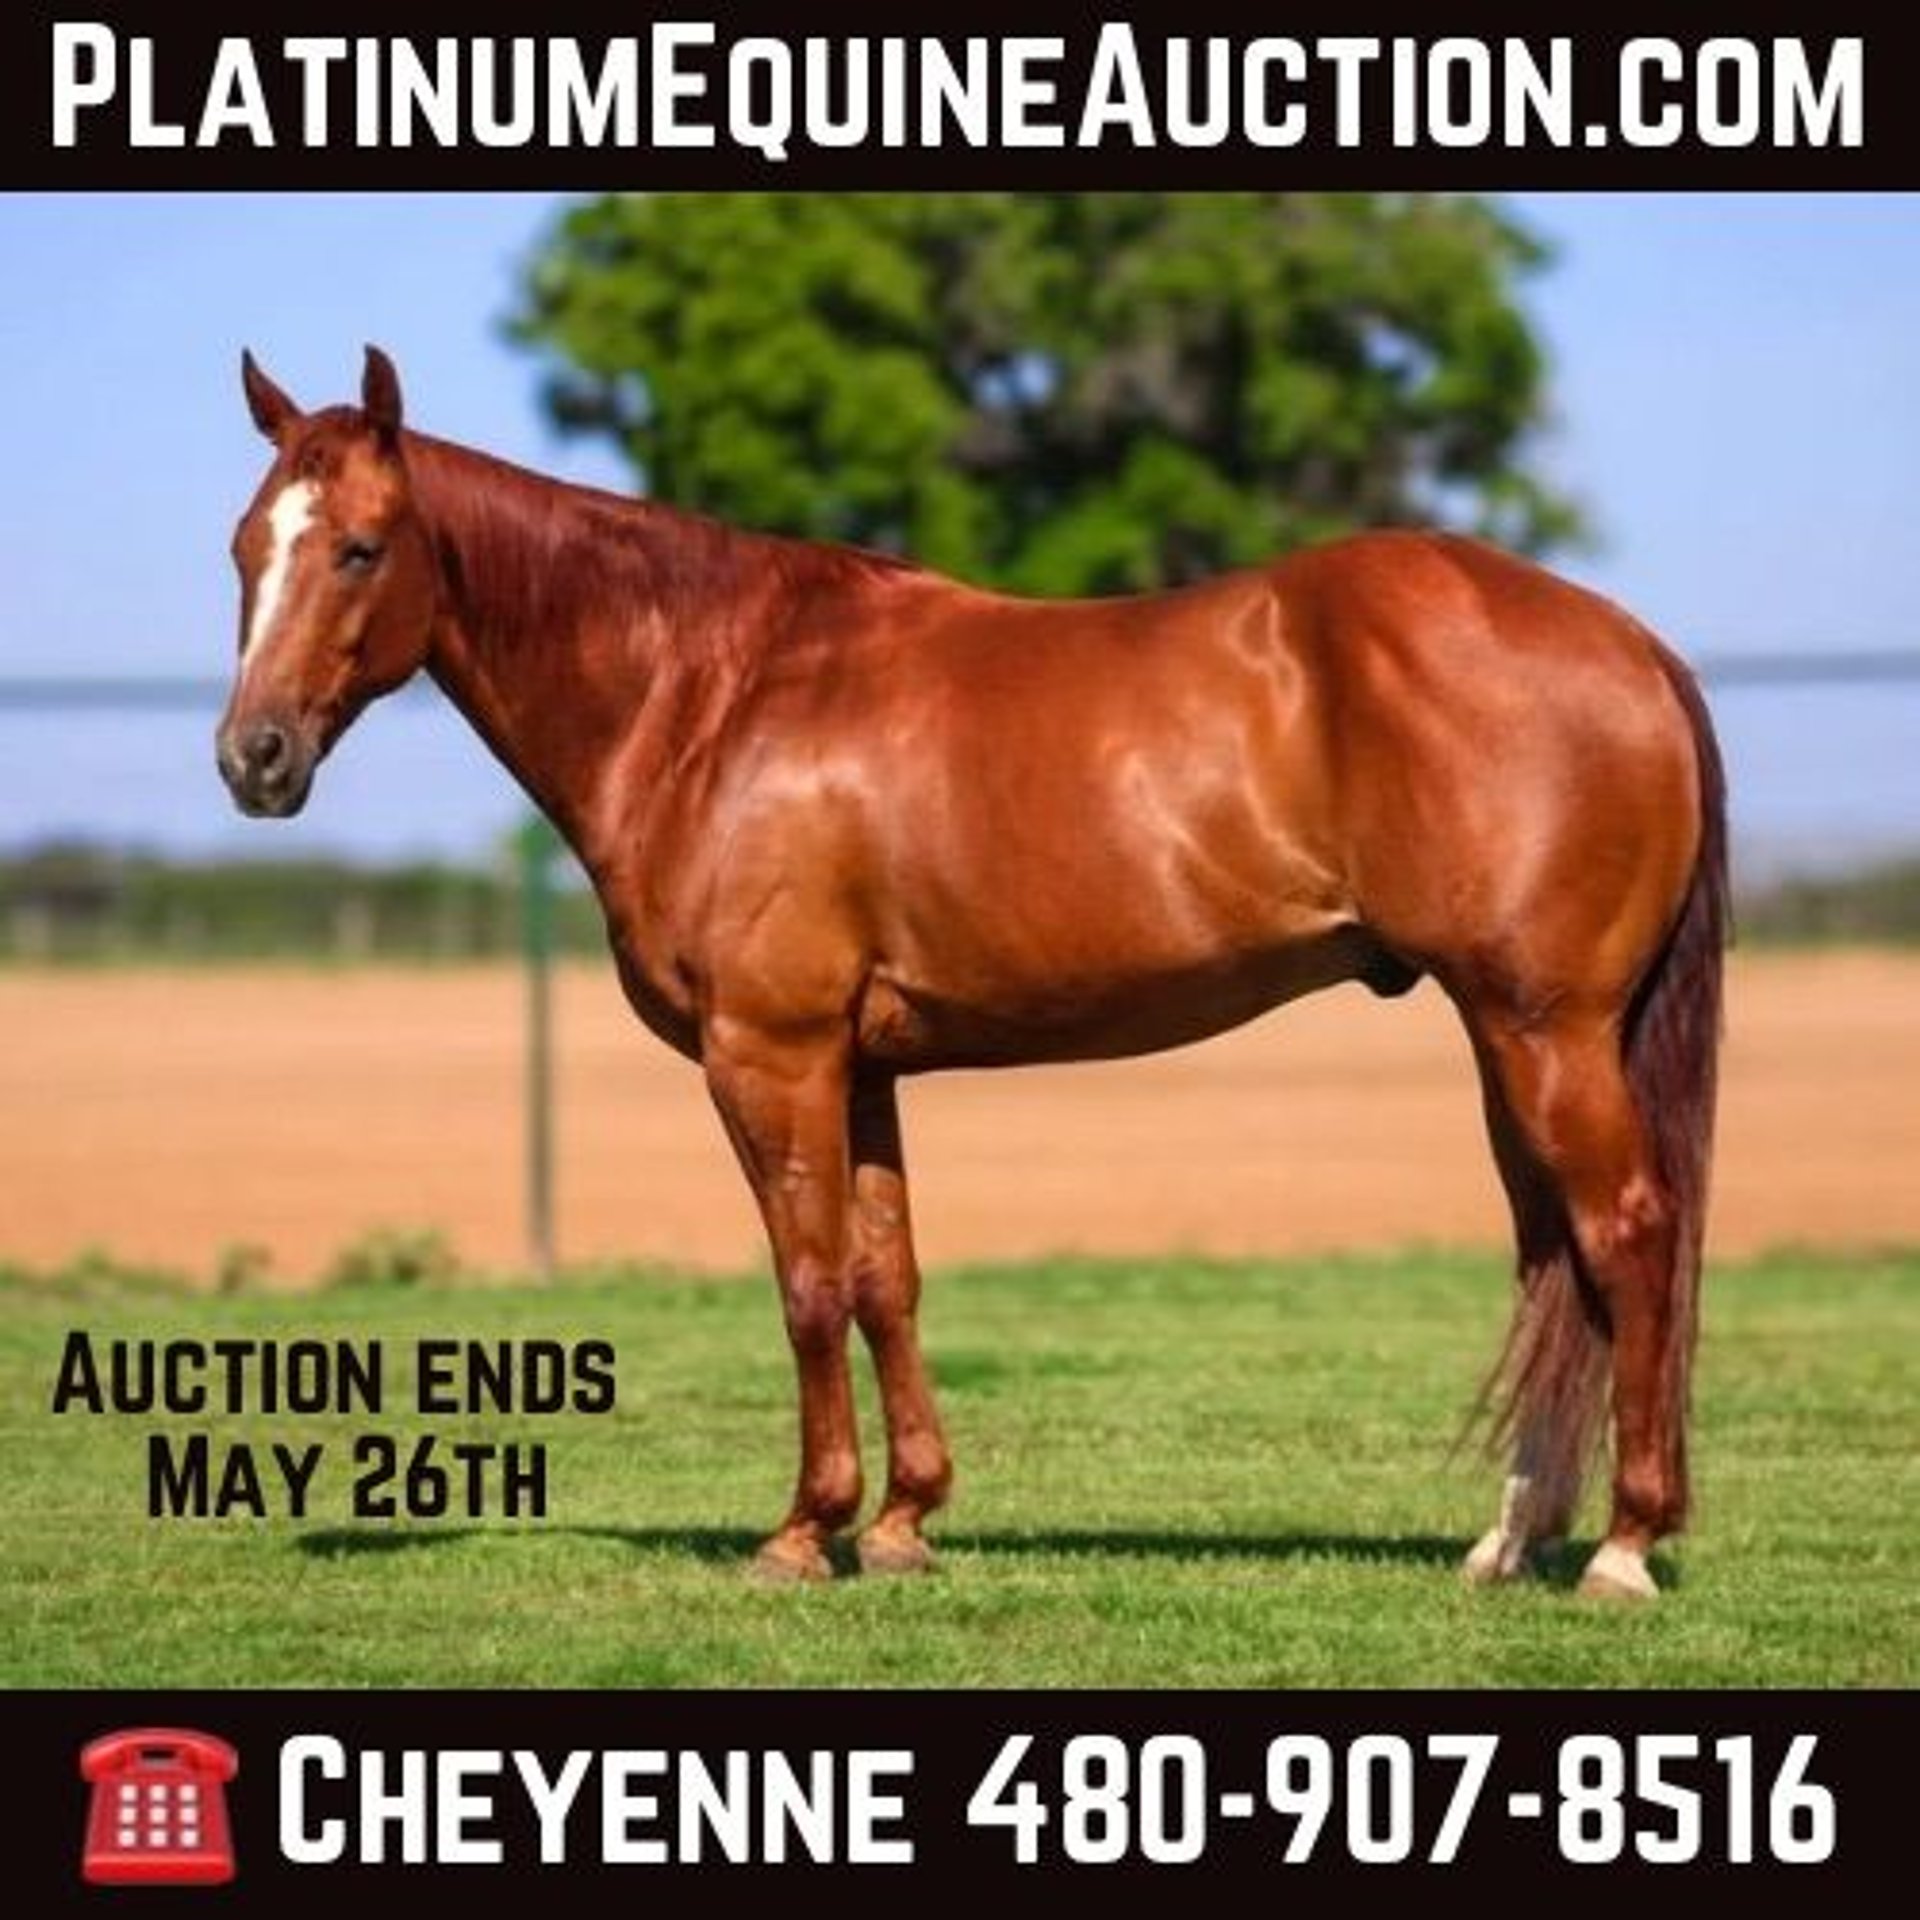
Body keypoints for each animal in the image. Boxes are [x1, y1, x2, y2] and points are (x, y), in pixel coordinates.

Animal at [217, 347, 1726, 1600]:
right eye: (244, 549)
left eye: (359, 549)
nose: (254, 758)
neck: (713, 694)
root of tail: (1633, 643)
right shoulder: (862, 1067)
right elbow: (887, 1277)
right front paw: (902, 1522)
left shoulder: (771, 1053)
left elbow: (808, 1283)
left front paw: (802, 1532)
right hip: (1509, 1035)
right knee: (1553, 1255)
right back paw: (1510, 1540)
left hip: (1546, 1029)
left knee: (1627, 1233)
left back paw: (1624, 1547)